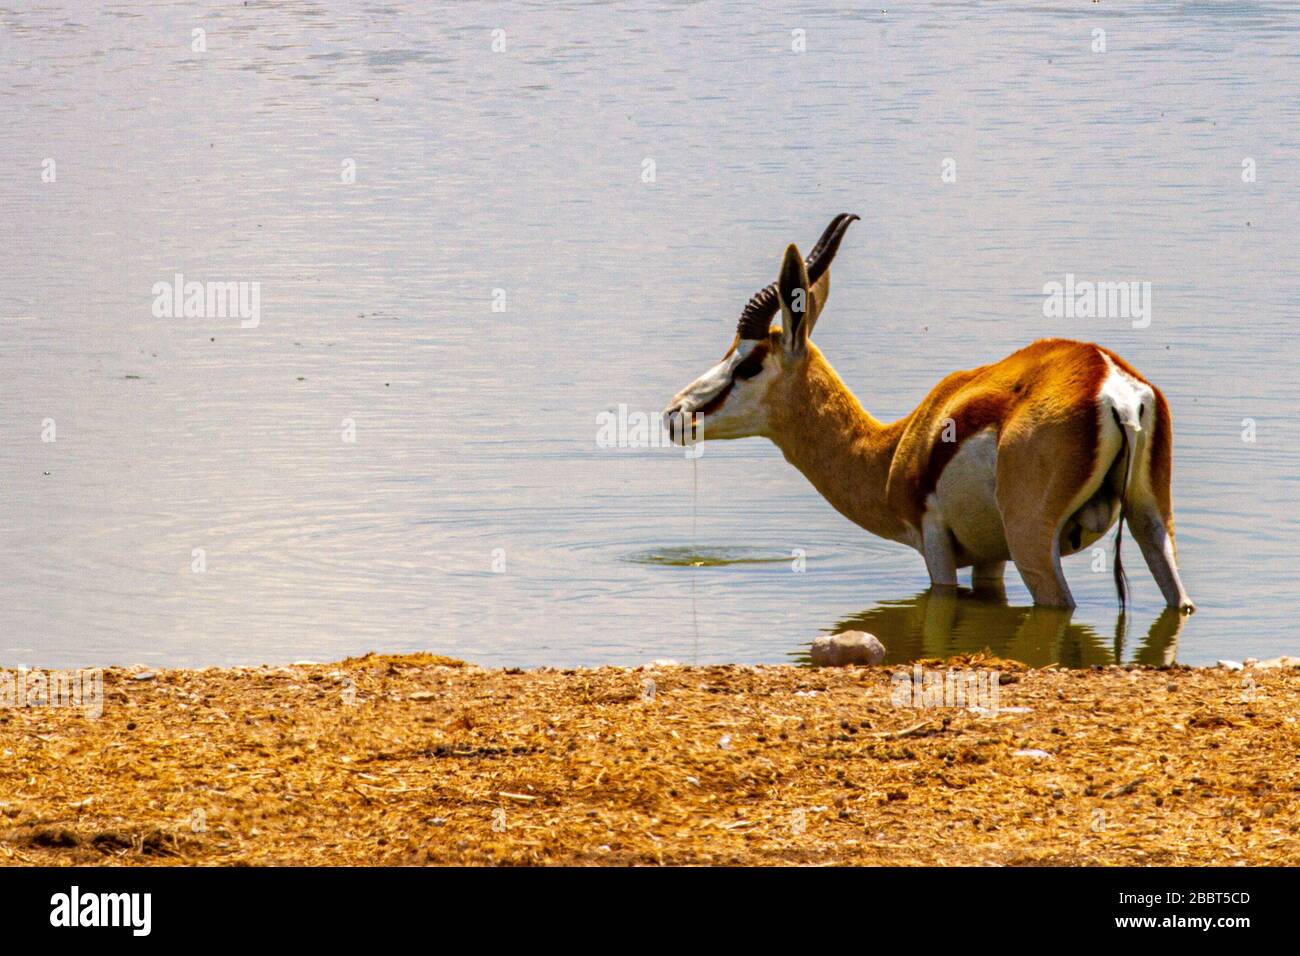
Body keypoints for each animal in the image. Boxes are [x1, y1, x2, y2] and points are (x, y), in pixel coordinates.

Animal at [663, 214, 1194, 612]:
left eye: (748, 363)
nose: (675, 414)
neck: (891, 450)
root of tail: (1109, 382)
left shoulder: (935, 542)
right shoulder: (989, 558)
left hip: (1034, 543)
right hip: (1151, 519)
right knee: (1179, 597)